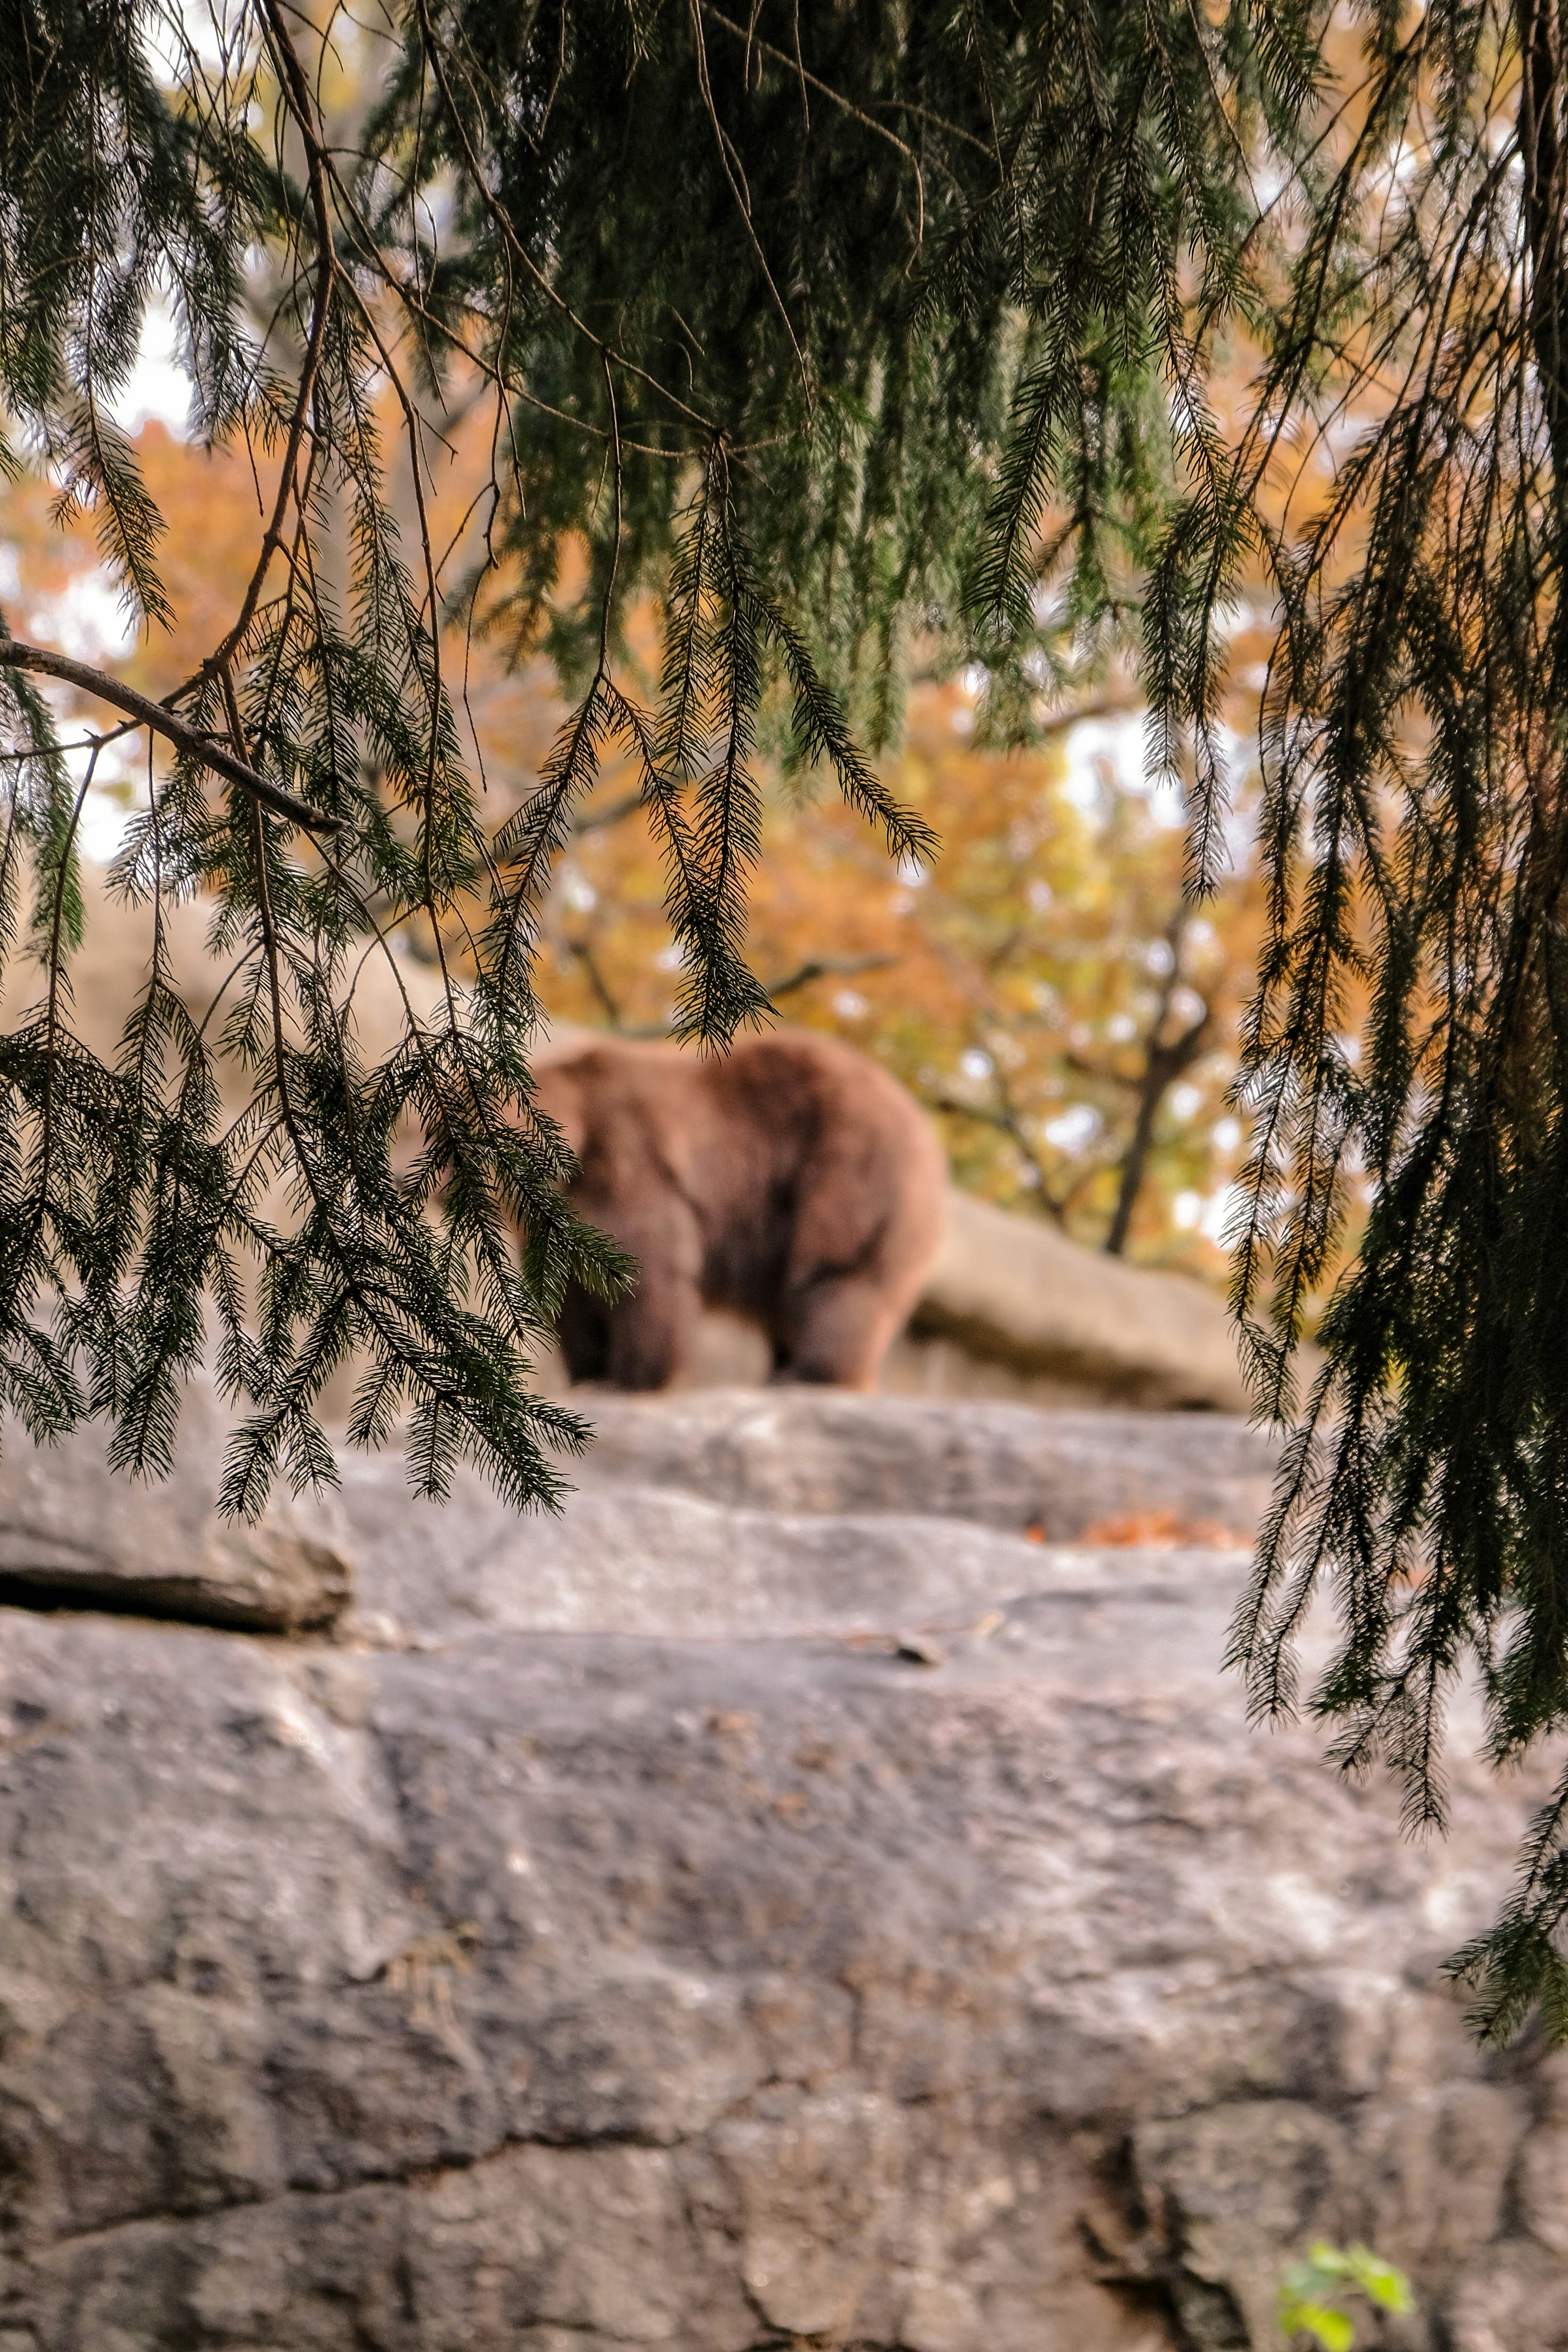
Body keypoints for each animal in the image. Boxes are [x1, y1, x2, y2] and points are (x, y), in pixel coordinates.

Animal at [530, 1028, 948, 1391]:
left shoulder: (627, 1158)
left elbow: (647, 1267)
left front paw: (630, 1379)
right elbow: (571, 1291)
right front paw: (588, 1374)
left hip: (847, 1173)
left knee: (836, 1275)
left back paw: (807, 1374)